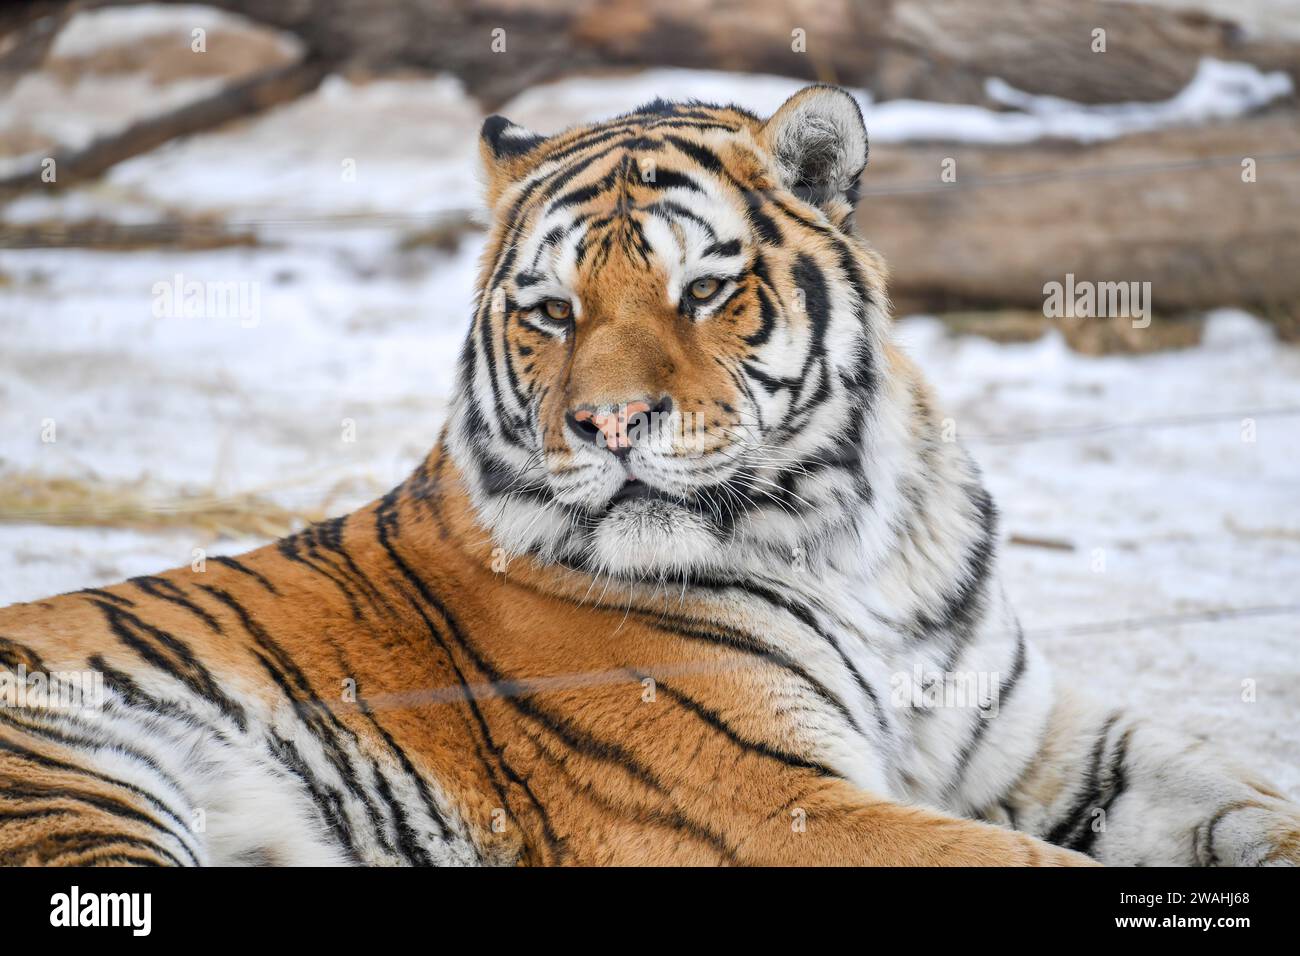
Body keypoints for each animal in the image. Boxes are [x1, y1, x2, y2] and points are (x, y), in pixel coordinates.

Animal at [1, 85, 1297, 867]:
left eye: (705, 289)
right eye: (550, 310)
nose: (610, 420)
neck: (852, 534)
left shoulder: (1027, 737)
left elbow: (1236, 791)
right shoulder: (766, 802)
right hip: (83, 793)